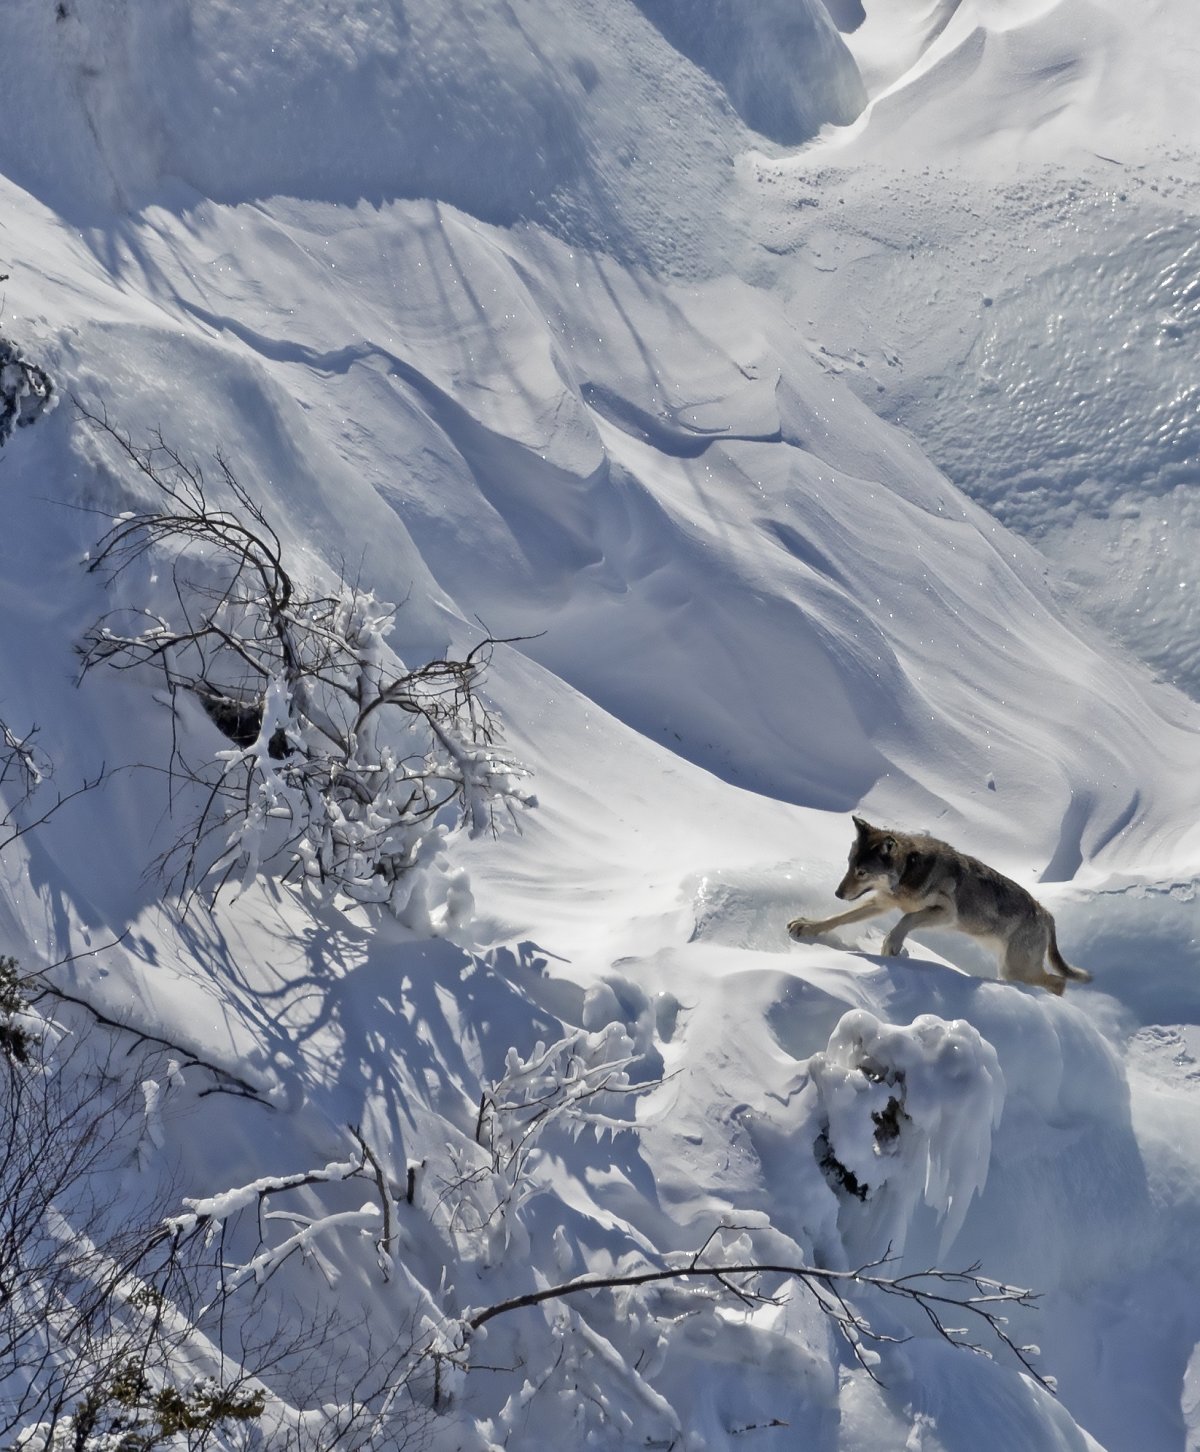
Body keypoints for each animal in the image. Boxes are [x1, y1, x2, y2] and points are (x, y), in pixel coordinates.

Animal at [787, 816, 1092, 995]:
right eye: (850, 865)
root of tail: (1046, 913)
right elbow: (838, 918)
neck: (908, 871)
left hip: (1016, 968)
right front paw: (807, 926)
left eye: (862, 872)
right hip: (1010, 967)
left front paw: (891, 945)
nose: (838, 892)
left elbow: (905, 921)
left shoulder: (945, 914)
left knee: (1059, 981)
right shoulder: (881, 903)